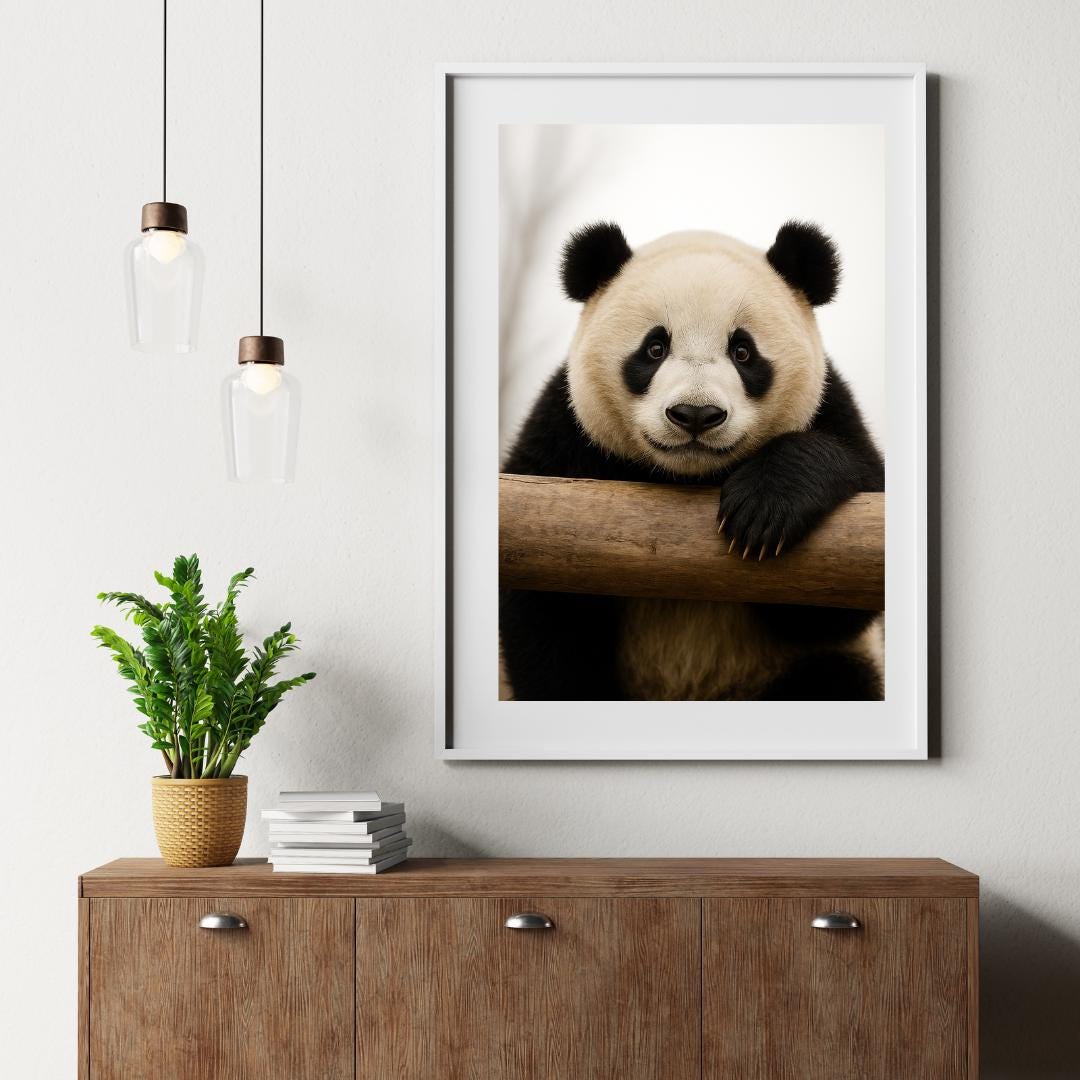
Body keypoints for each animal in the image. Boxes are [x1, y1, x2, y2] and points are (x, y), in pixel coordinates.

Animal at [500, 220, 885, 701]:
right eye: (654, 348)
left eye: (743, 352)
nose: (696, 415)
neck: (688, 478)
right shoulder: (563, 439)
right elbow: (542, 604)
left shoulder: (832, 408)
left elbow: (837, 602)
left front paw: (763, 509)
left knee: (834, 678)